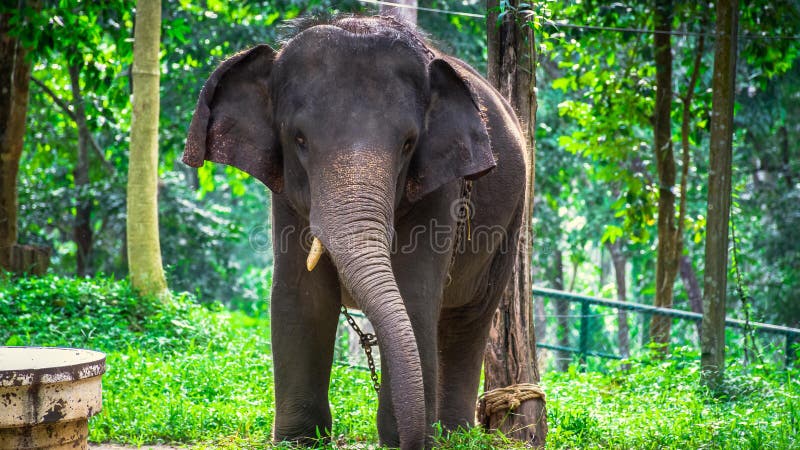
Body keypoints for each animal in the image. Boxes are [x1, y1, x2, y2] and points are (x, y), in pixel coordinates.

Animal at [183, 15, 528, 450]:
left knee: (469, 318)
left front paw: (402, 438)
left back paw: (453, 434)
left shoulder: (440, 185)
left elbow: (413, 296)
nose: (416, 439)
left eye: (408, 144)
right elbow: (302, 296)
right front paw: (298, 441)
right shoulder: (286, 194)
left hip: (513, 220)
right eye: (299, 140)